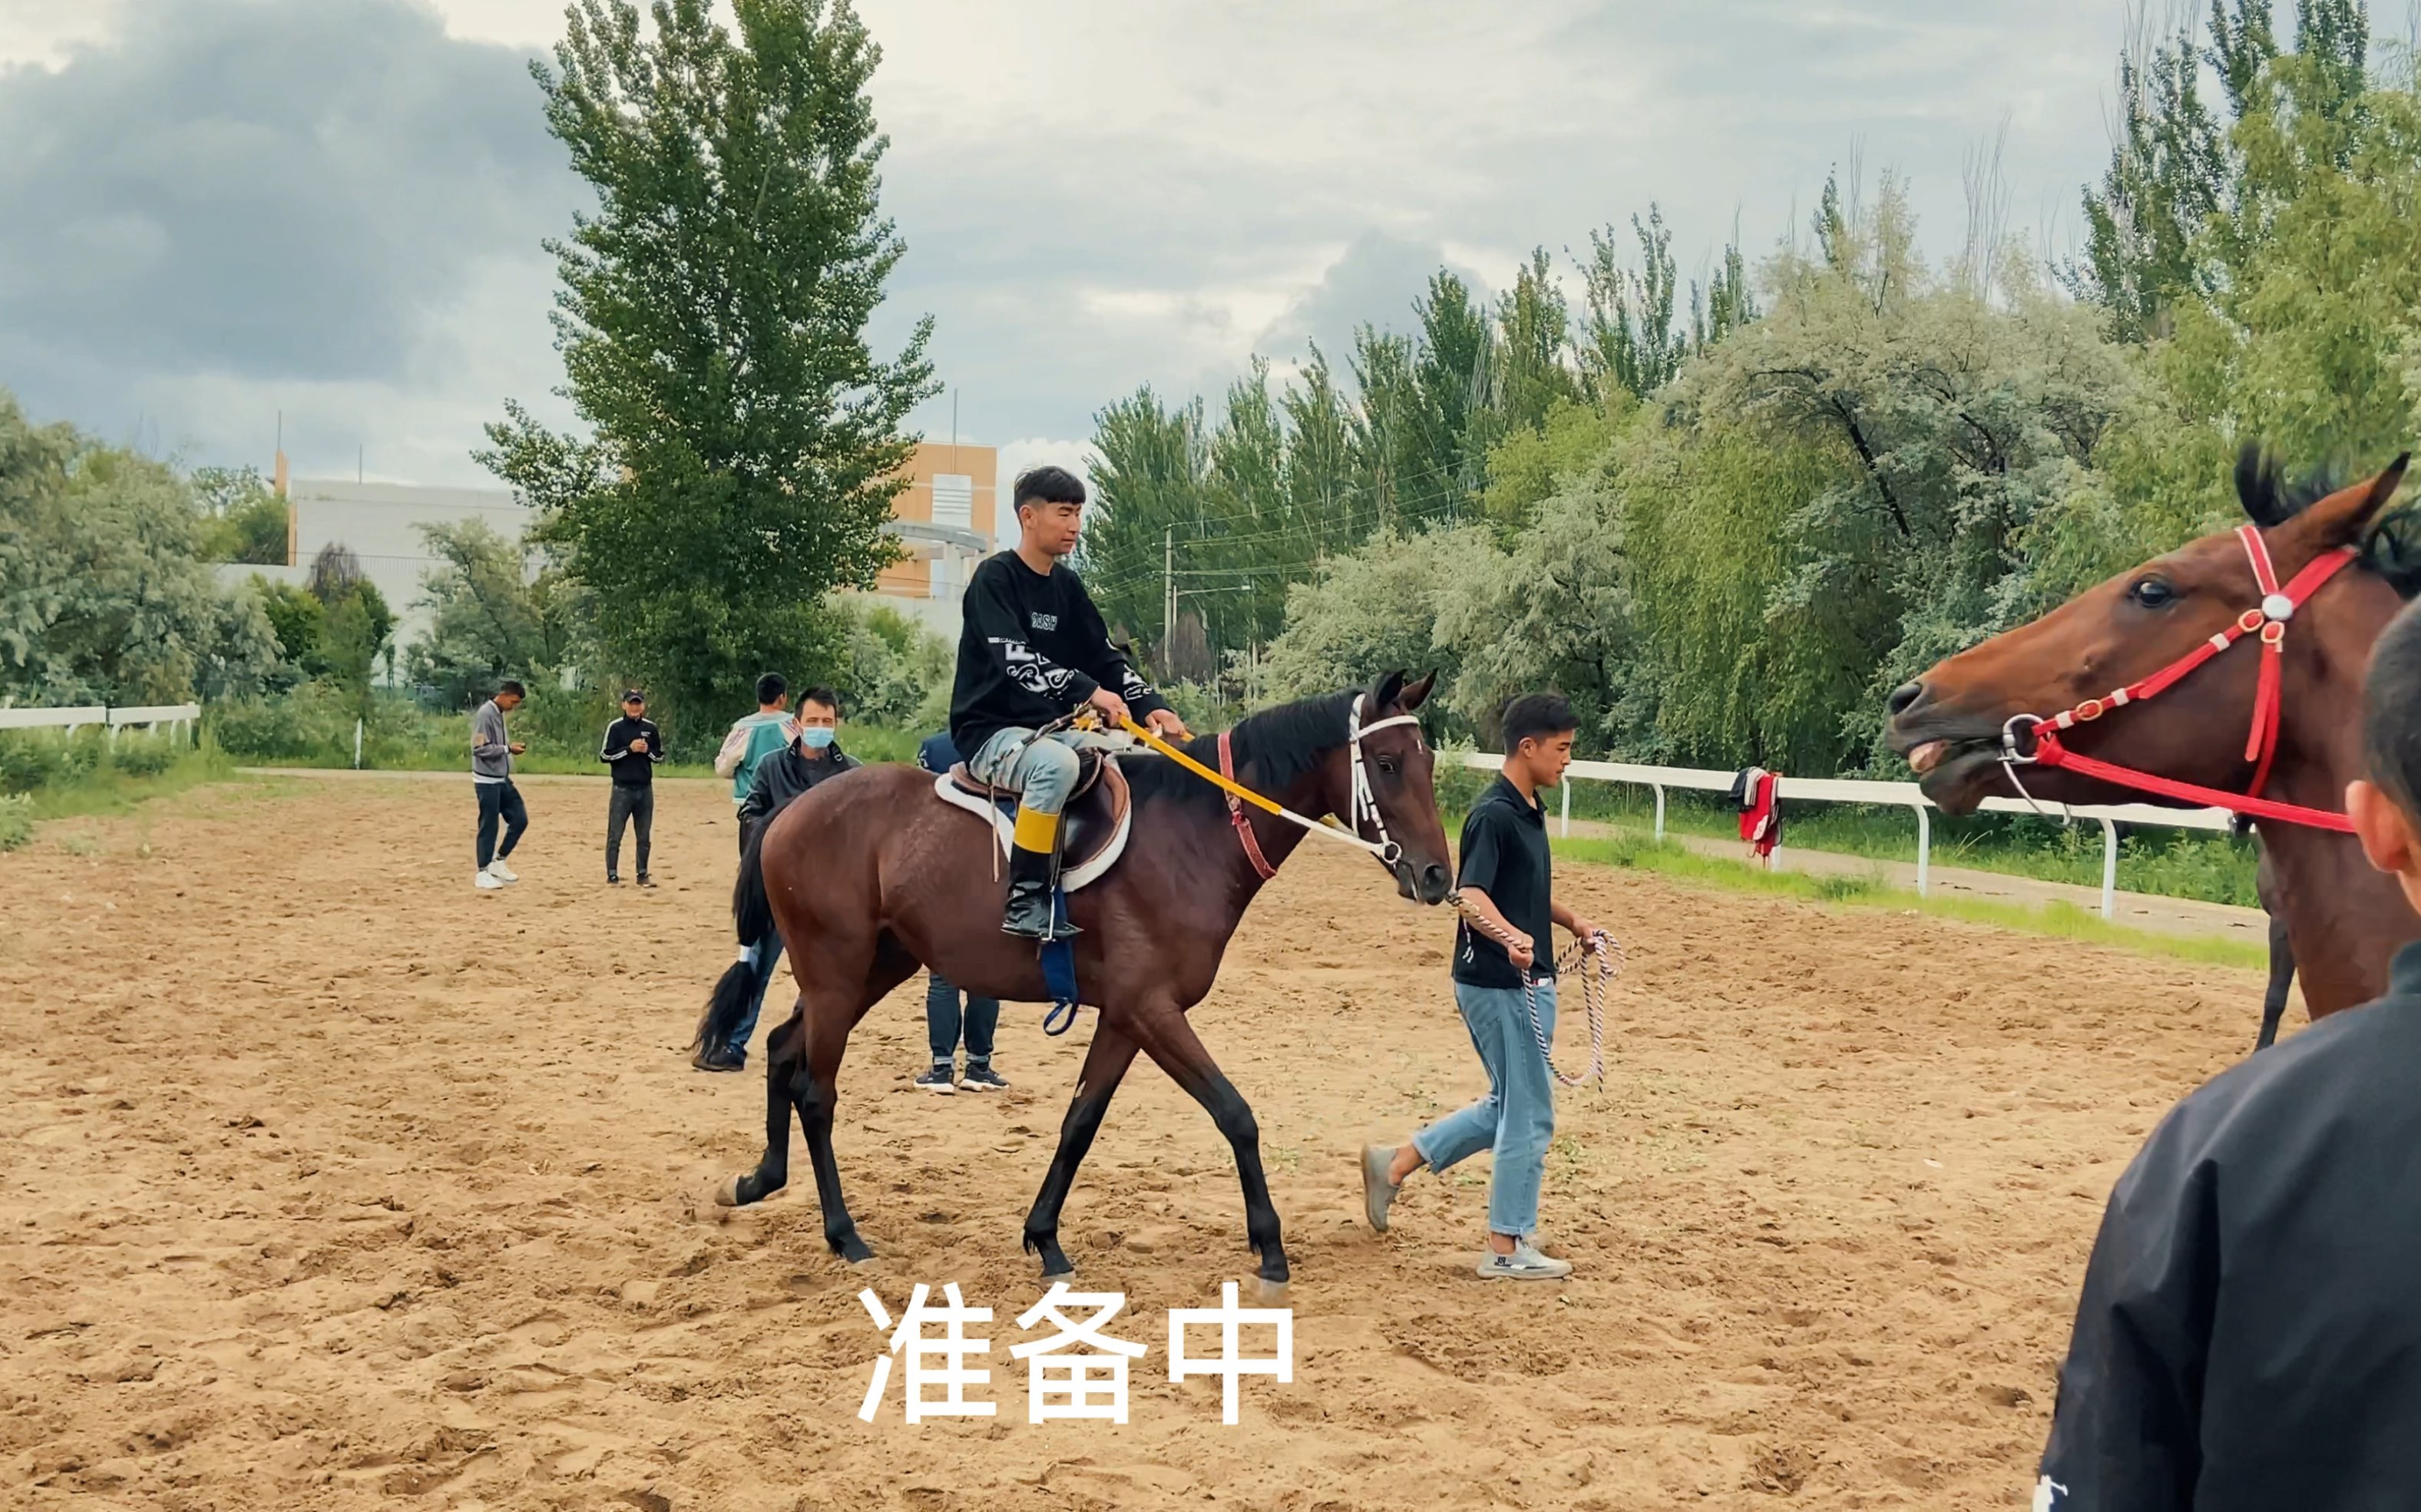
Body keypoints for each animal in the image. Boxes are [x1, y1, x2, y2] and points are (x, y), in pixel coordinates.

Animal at [692, 671, 1455, 1295]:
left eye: (1427, 762)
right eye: (1386, 764)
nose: (1436, 876)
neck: (1195, 833)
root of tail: (789, 811)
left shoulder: (1124, 1016)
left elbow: (1079, 1122)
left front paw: (1045, 1238)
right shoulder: (1153, 1011)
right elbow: (1235, 1114)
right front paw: (1269, 1248)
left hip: (869, 970)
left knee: (782, 1049)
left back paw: (759, 1179)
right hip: (837, 974)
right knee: (816, 1092)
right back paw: (844, 1233)